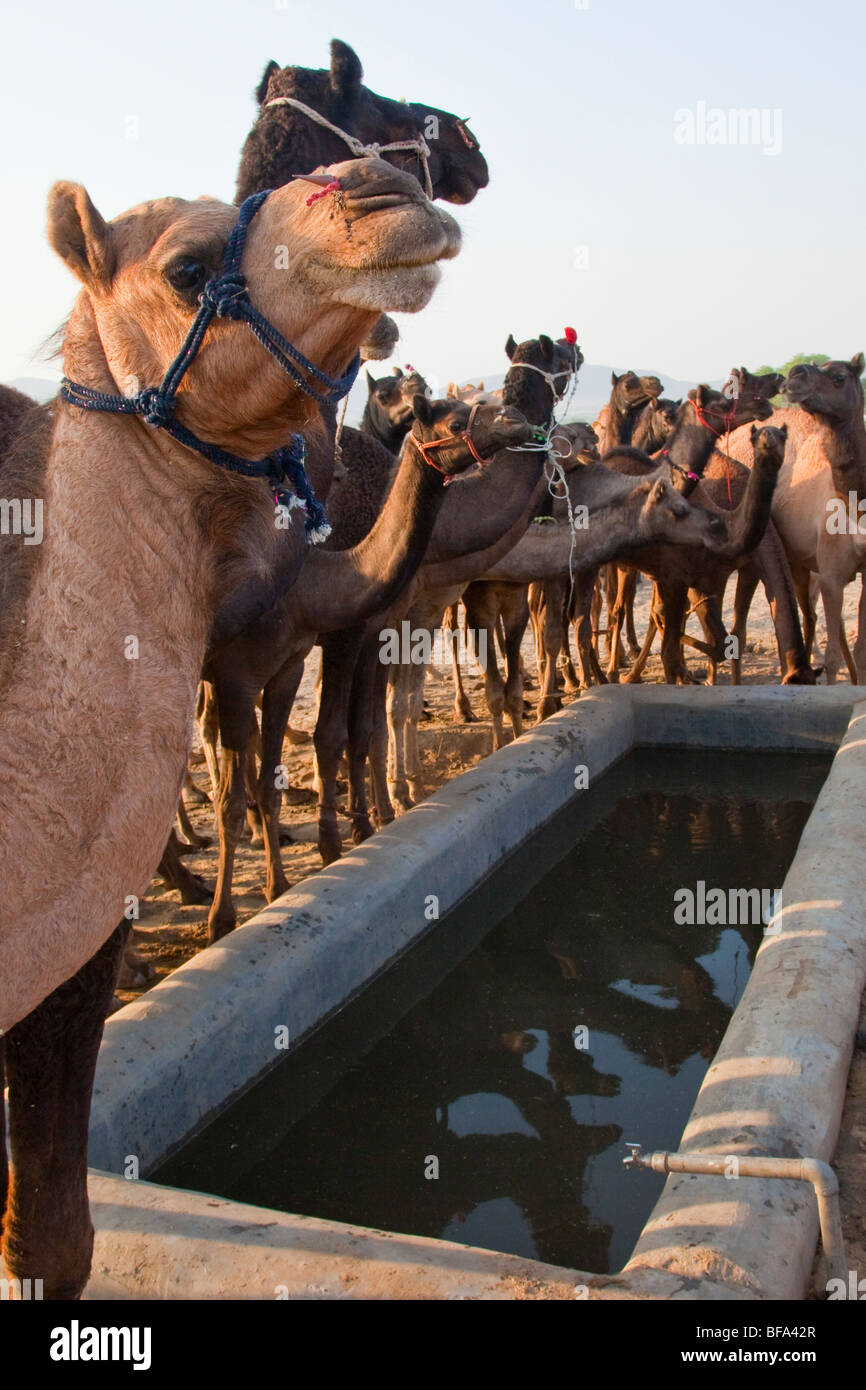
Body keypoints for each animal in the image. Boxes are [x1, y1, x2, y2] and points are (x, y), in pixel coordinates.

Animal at [199, 395, 533, 939]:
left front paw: (281, 886)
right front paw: (224, 918)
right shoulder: (243, 675)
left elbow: (309, 760)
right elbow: (328, 738)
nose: (514, 418)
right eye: (454, 419)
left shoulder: (291, 664)